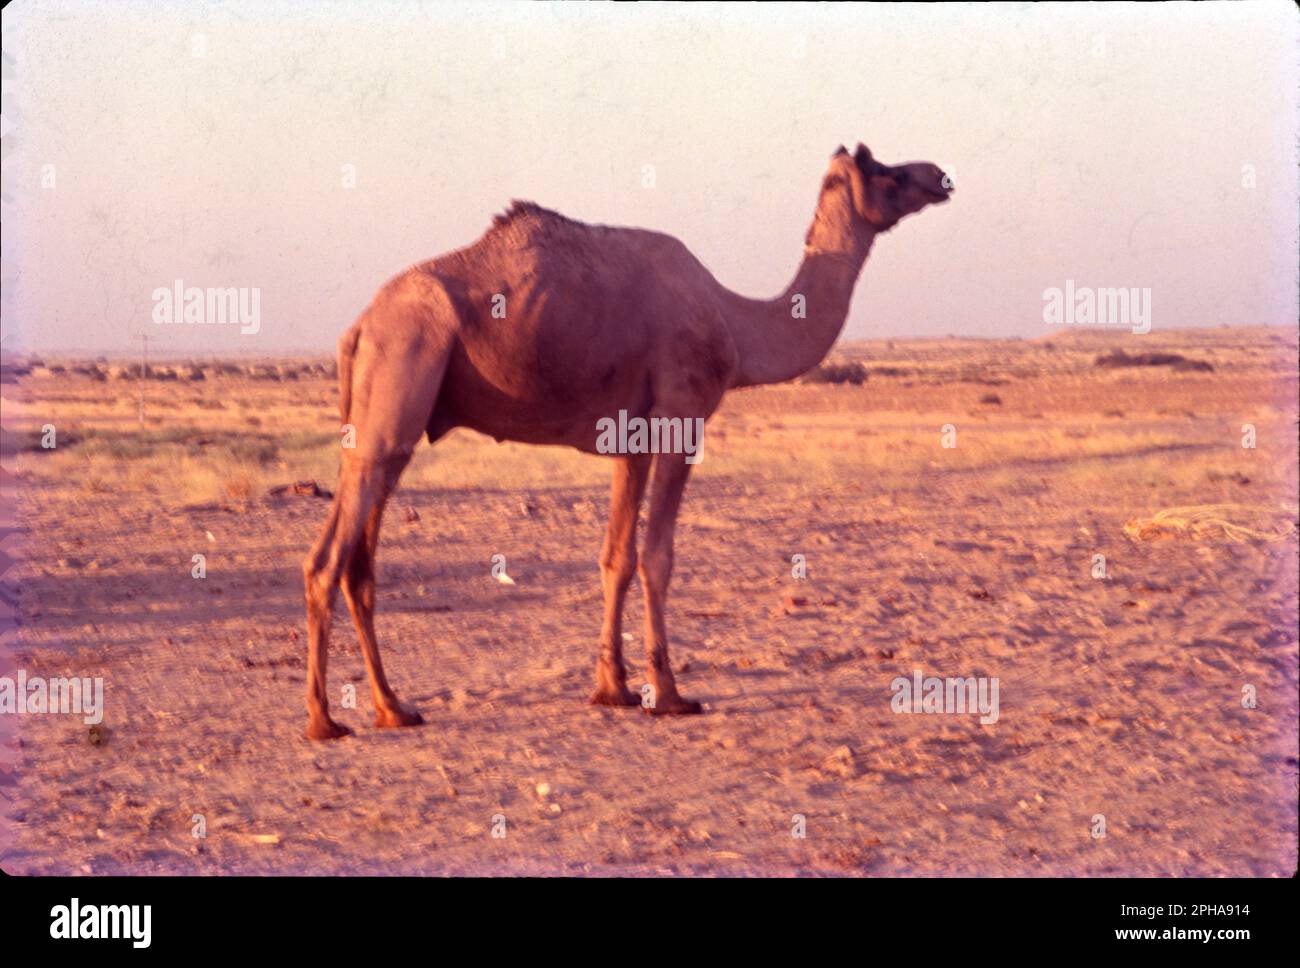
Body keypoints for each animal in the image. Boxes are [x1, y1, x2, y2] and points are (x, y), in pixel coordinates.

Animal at [302, 142, 952, 739]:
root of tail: (357, 328)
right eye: (886, 171)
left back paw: (394, 707)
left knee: (360, 562)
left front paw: (611, 688)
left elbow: (614, 557)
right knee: (326, 560)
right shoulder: (681, 418)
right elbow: (657, 555)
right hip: (399, 382)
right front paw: (669, 693)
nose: (939, 175)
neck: (736, 321)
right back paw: (323, 720)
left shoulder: (630, 440)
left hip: (382, 431)